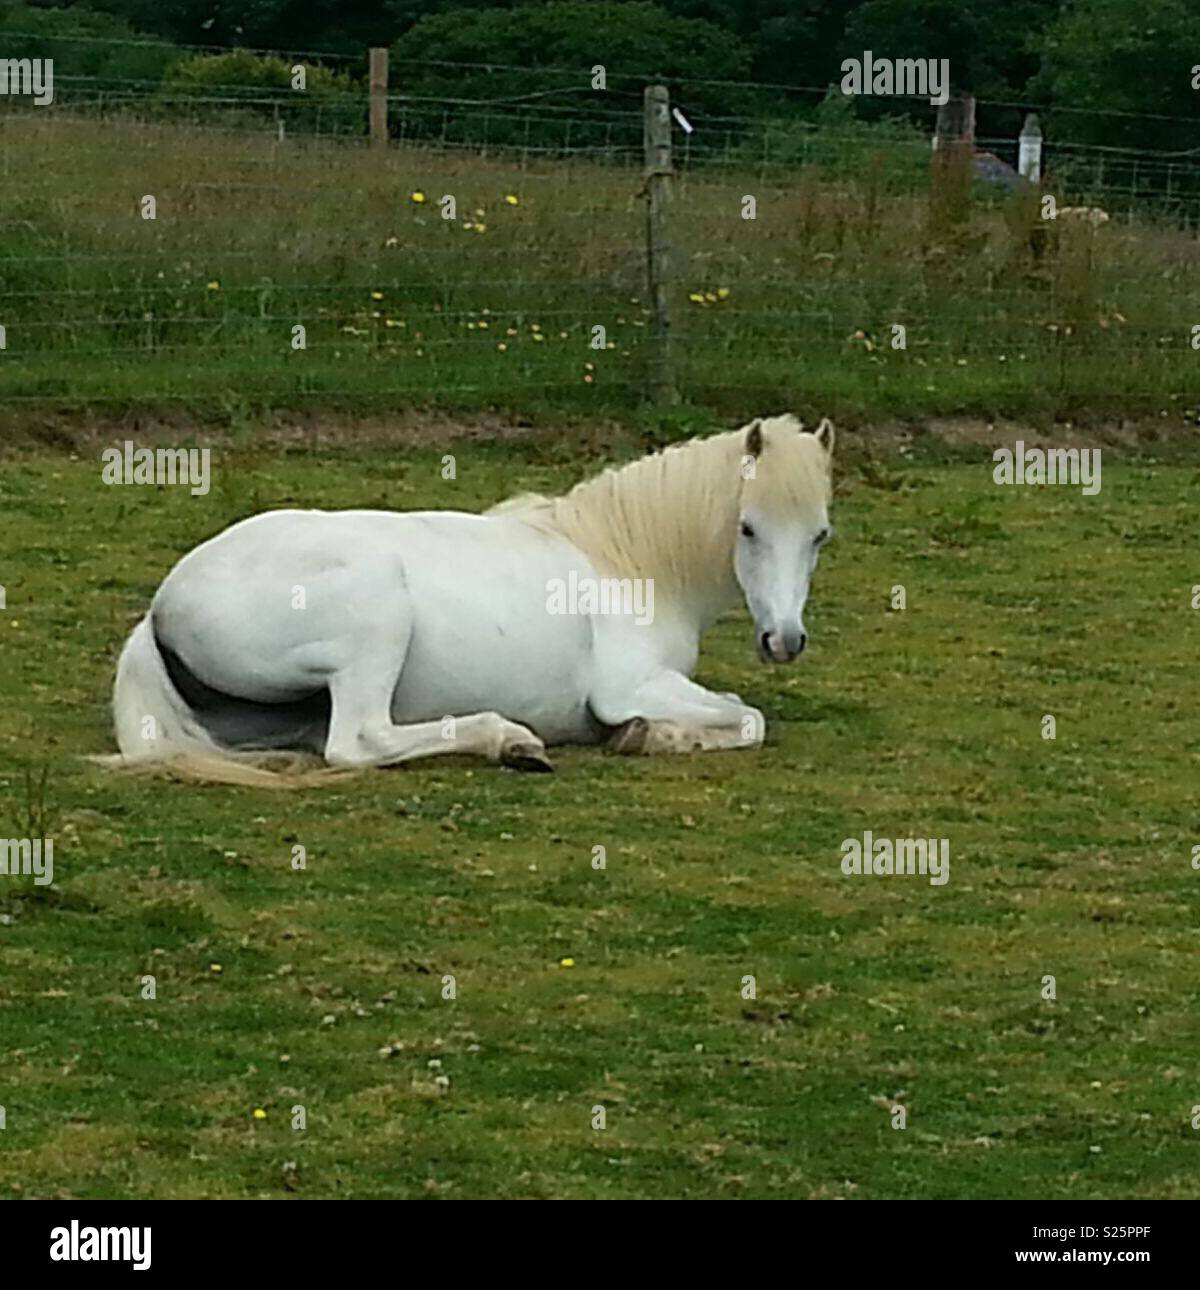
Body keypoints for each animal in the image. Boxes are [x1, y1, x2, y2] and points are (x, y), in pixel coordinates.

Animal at [104, 413, 835, 783]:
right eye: (748, 528)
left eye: (820, 534)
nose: (785, 642)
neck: (623, 562)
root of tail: (162, 606)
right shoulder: (631, 686)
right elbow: (748, 717)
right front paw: (649, 735)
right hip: (376, 620)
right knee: (357, 741)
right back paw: (507, 741)